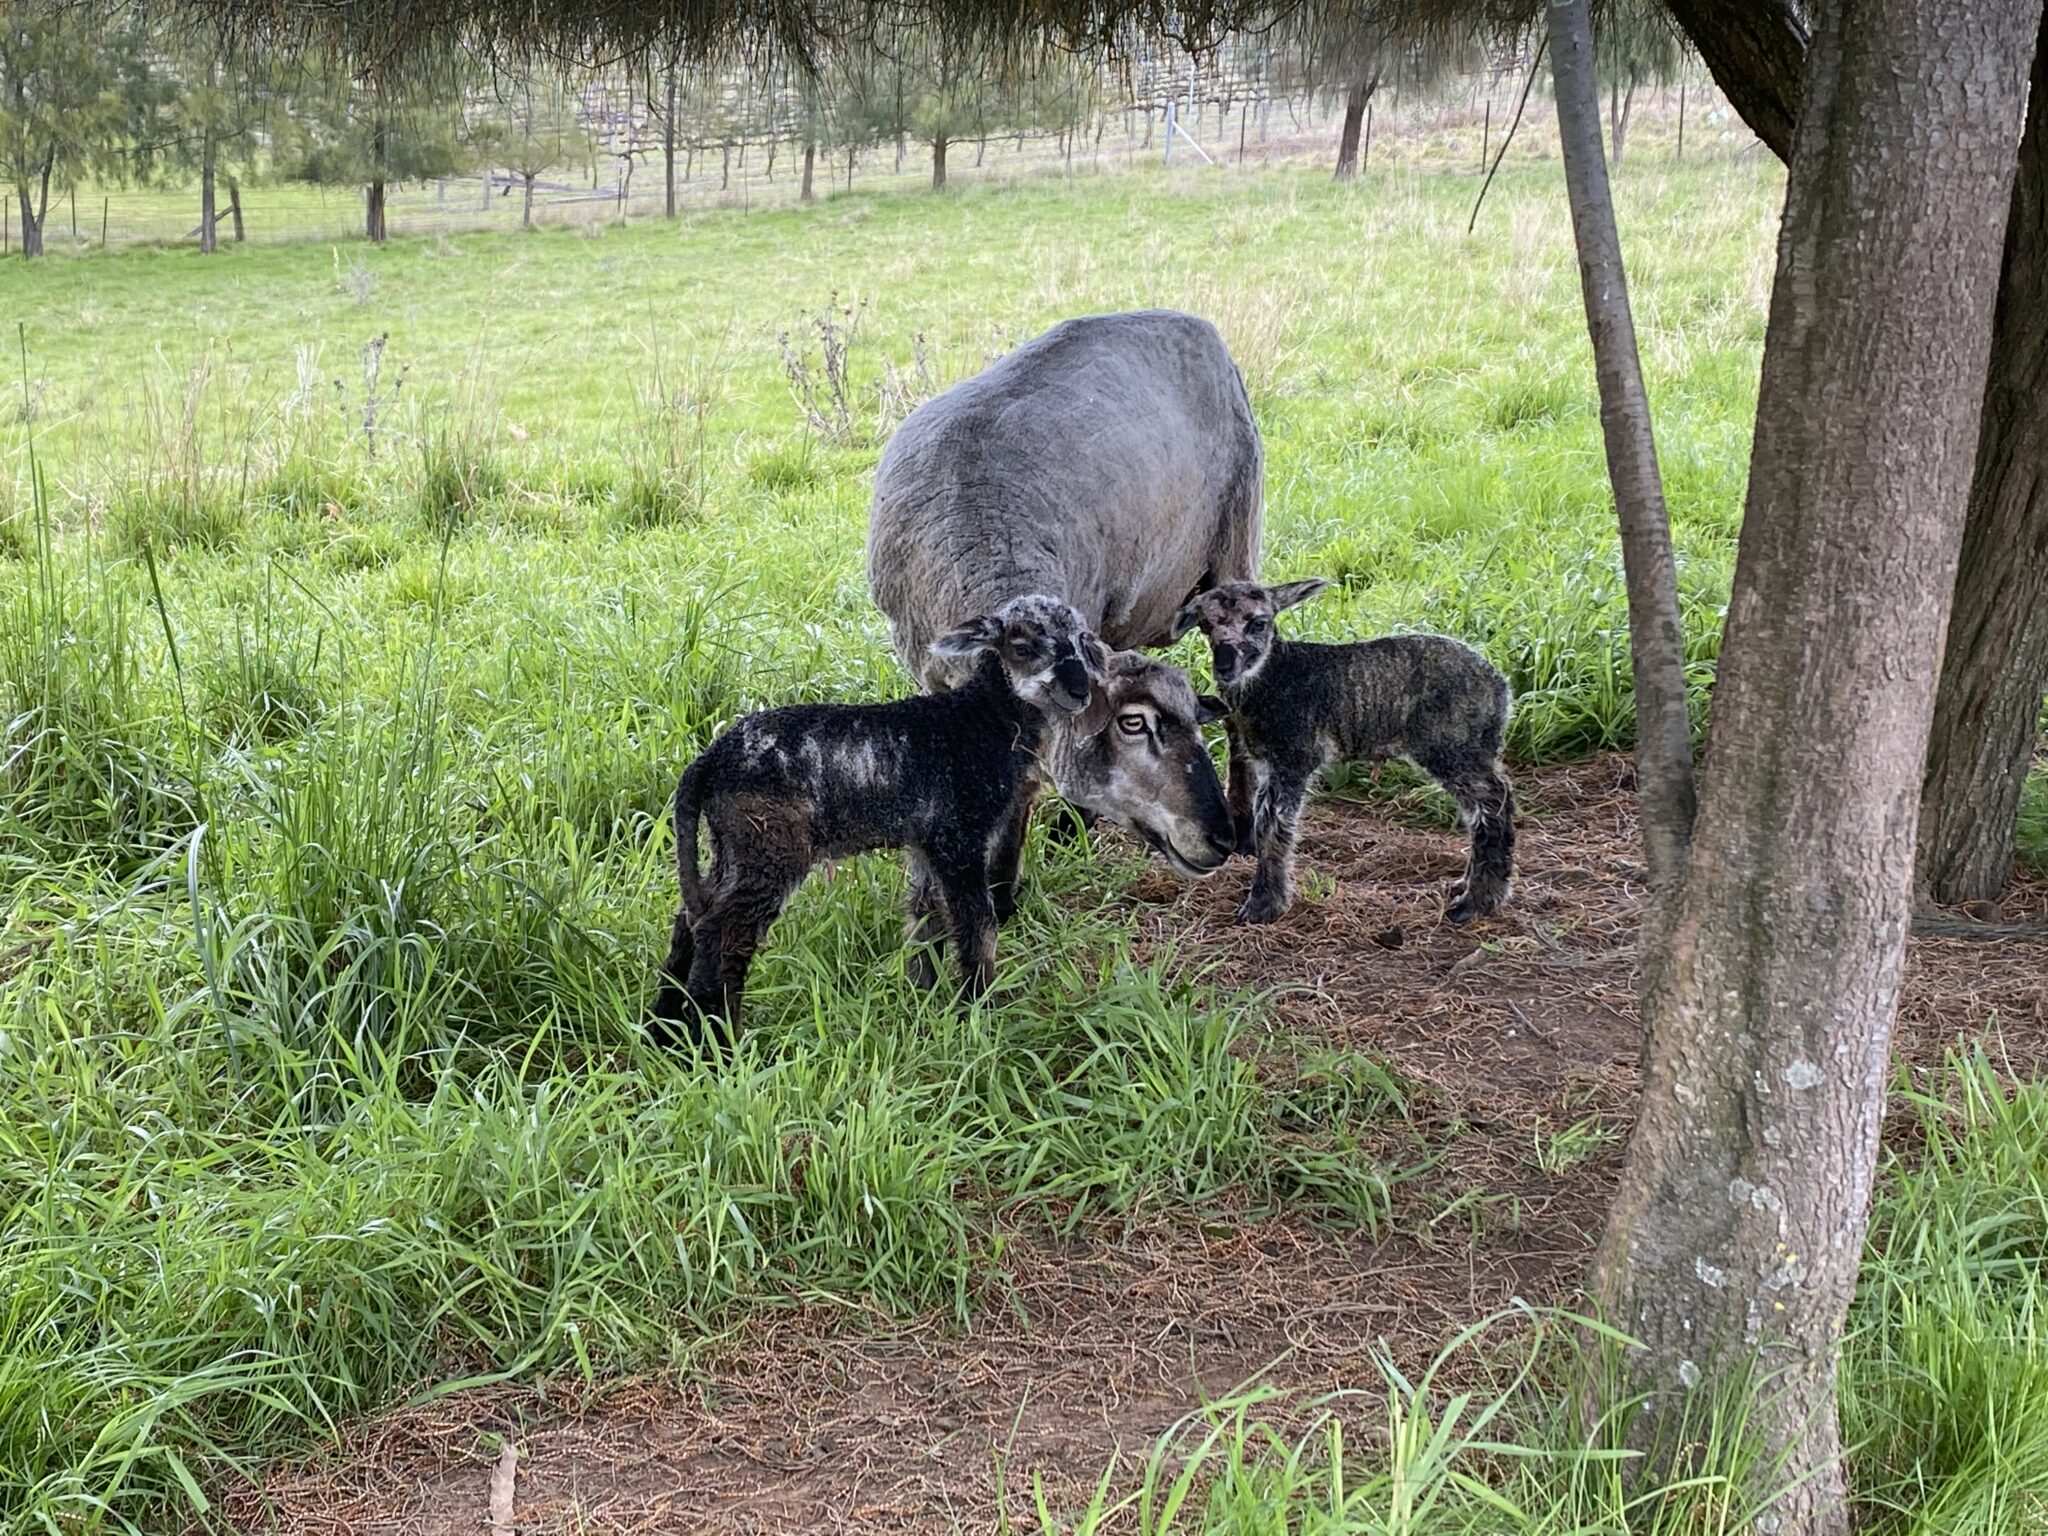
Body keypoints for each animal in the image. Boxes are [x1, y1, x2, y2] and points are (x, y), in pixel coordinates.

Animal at [648, 595, 1104, 1048]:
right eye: (1022, 647)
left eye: (1080, 642)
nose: (1080, 692)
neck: (981, 720)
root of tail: (708, 763)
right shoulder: (958, 836)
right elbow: (978, 924)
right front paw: (978, 1010)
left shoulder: (927, 838)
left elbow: (926, 915)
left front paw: (925, 998)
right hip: (770, 842)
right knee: (723, 932)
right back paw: (719, 1041)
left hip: (731, 843)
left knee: (691, 917)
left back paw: (663, 1028)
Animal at [867, 309, 1260, 874]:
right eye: (1132, 724)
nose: (1218, 838)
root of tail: (1192, 321)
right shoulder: (932, 676)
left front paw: (1002, 886)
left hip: (1236, 541)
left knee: (1241, 697)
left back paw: (1246, 821)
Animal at [1173, 579, 1516, 926]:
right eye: (1206, 625)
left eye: (1258, 623)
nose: (1224, 666)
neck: (1275, 675)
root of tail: (1501, 688)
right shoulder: (1268, 763)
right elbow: (1263, 821)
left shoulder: (1294, 757)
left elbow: (1273, 827)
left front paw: (1263, 905)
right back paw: (1465, 886)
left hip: (1454, 744)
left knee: (1493, 803)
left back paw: (1476, 902)